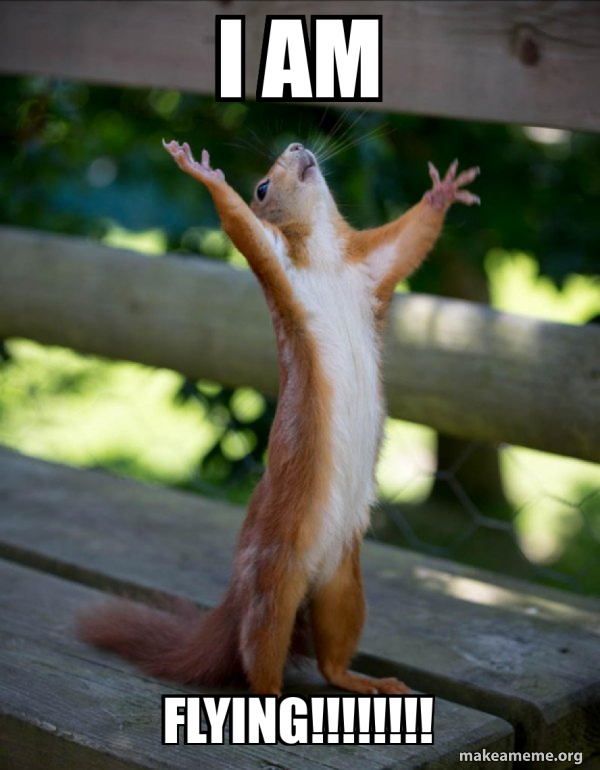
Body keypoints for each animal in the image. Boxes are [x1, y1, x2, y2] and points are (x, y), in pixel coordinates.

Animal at [77, 139, 479, 696]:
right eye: (263, 187)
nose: (296, 146)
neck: (327, 259)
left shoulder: (372, 267)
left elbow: (410, 239)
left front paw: (442, 193)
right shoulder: (277, 264)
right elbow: (240, 226)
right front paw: (204, 173)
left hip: (344, 586)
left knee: (332, 657)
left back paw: (365, 681)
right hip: (273, 583)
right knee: (259, 657)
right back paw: (275, 694)